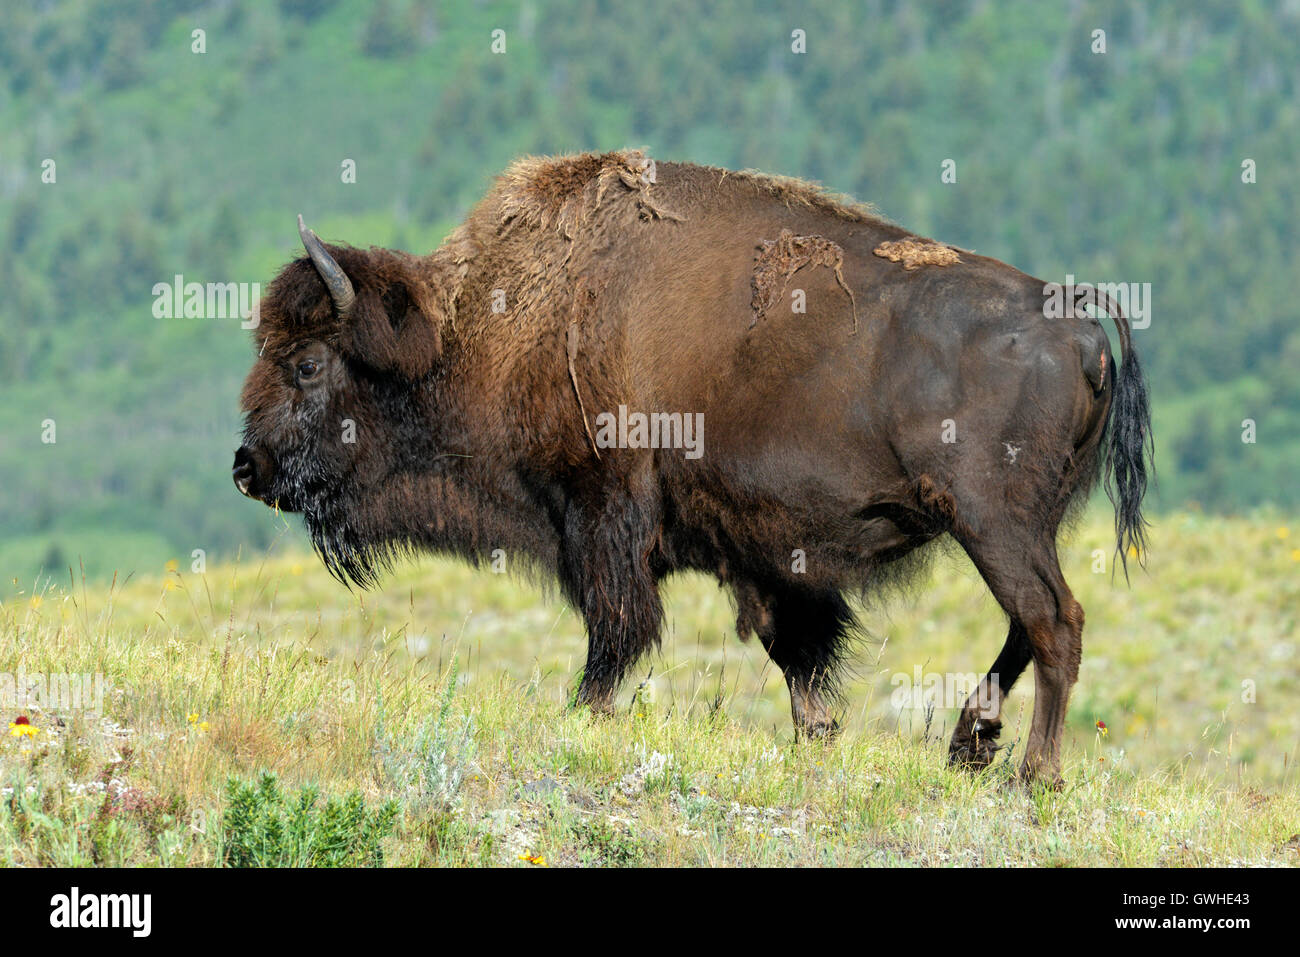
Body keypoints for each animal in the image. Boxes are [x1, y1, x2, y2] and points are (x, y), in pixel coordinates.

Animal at [233, 149, 1150, 784]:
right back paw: (971, 741)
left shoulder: (603, 516)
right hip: (1020, 525)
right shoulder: (761, 554)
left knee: (1054, 620)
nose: (247, 467)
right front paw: (817, 735)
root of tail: (1073, 314)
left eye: (307, 364)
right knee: (1031, 623)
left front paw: (585, 712)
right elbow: (795, 649)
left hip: (994, 521)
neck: (479, 329)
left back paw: (1034, 774)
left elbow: (617, 629)